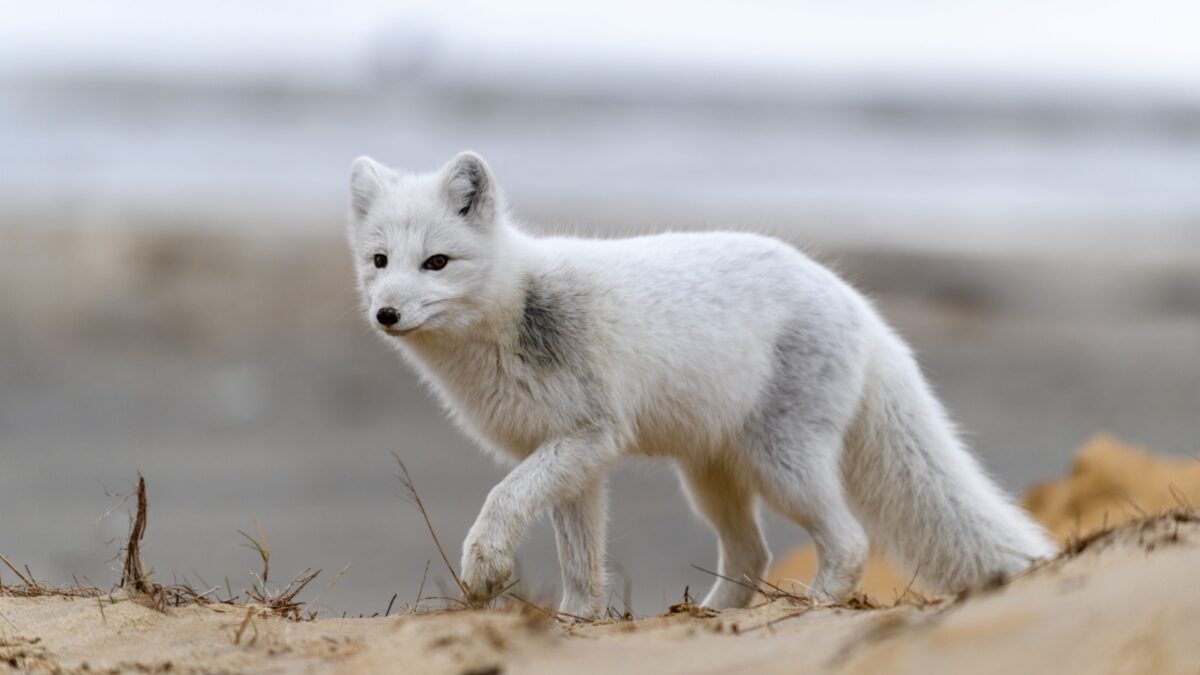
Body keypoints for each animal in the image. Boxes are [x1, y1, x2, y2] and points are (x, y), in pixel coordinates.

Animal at [345, 151, 1056, 618]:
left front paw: (485, 567)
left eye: (437, 263)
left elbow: (502, 500)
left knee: (847, 542)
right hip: (710, 478)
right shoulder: (570, 459)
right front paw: (575, 622)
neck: (512, 315)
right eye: (379, 261)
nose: (386, 314)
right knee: (750, 556)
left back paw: (808, 606)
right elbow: (582, 562)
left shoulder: (589, 438)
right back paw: (706, 618)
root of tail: (857, 302)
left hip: (783, 468)